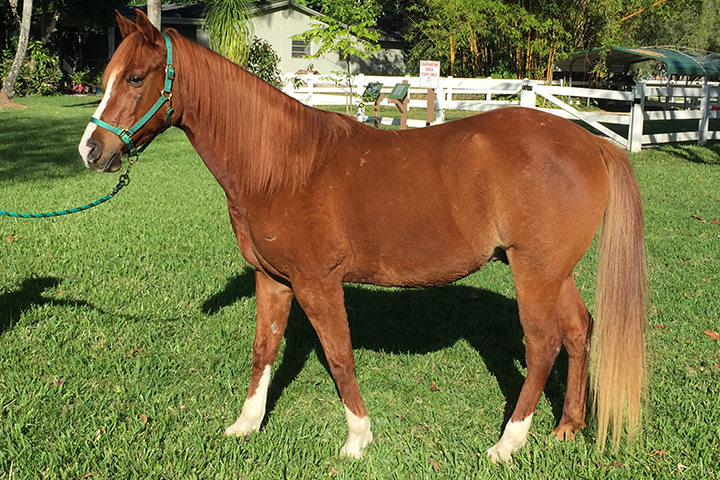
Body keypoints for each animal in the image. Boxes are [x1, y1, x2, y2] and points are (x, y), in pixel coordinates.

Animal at [78, 10, 648, 462]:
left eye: (135, 78)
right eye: (107, 76)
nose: (91, 150)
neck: (283, 166)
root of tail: (590, 142)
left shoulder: (318, 282)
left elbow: (338, 355)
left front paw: (357, 438)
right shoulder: (273, 279)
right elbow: (264, 349)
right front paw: (246, 424)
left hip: (535, 273)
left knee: (544, 344)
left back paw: (508, 443)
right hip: (554, 272)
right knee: (577, 331)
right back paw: (566, 426)